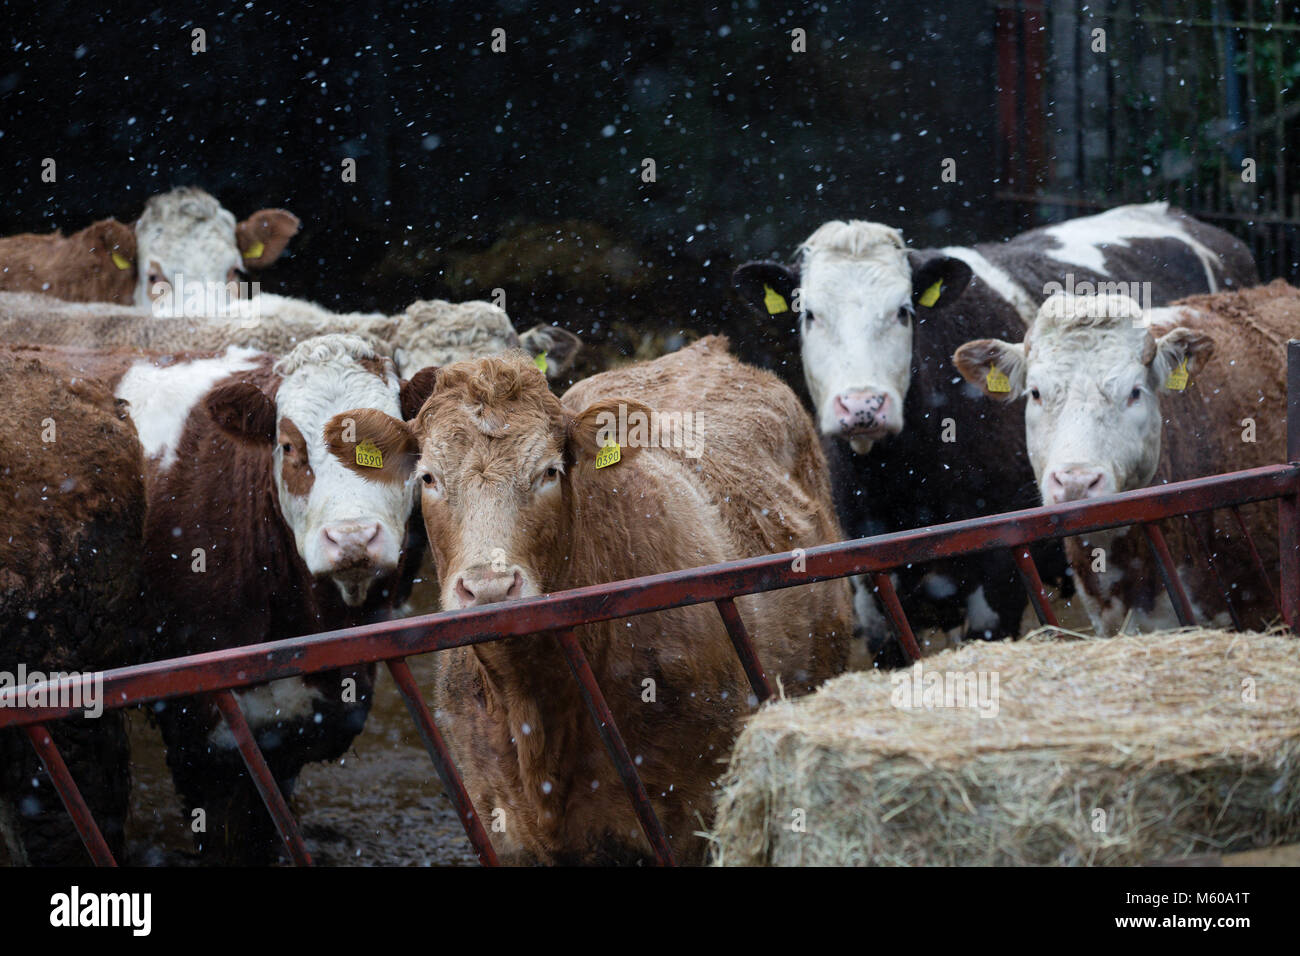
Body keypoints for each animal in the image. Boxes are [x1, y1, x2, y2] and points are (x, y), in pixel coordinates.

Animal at [733, 202, 1259, 665]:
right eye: (809, 314)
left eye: (903, 311)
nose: (863, 405)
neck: (904, 483)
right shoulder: (872, 593)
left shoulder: (1002, 575)